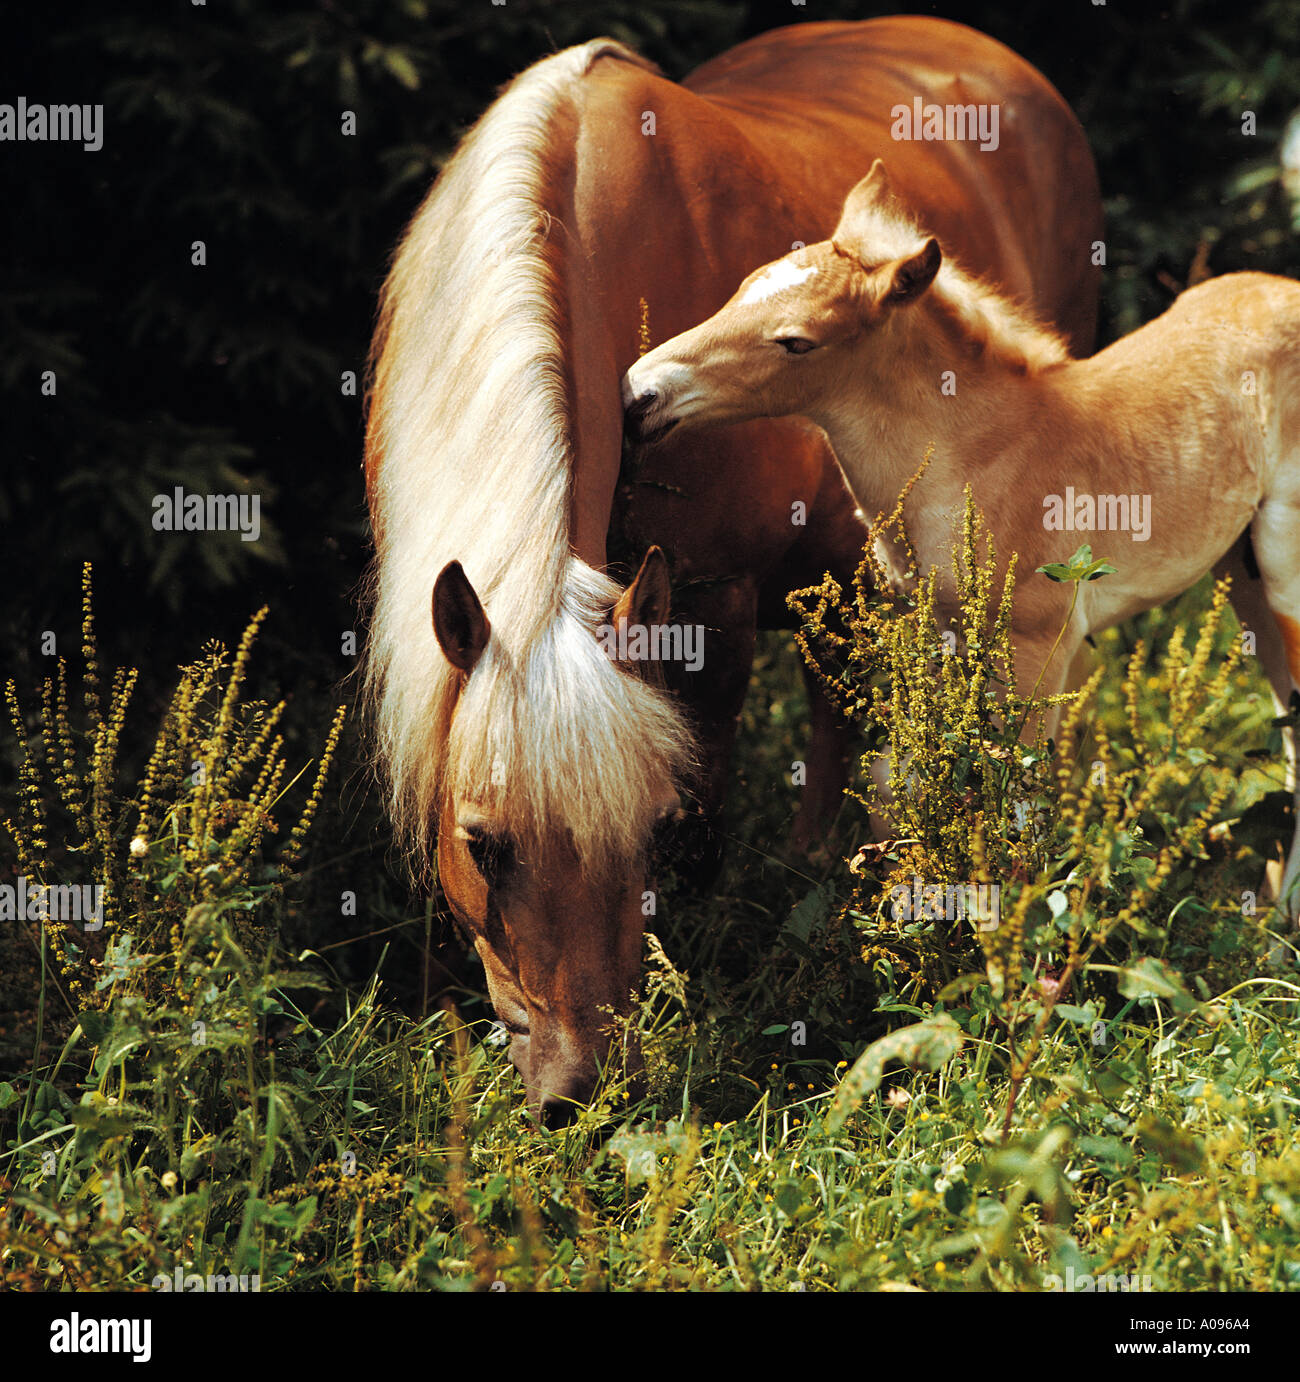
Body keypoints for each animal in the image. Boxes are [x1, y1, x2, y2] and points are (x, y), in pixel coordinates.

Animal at [623, 159, 1300, 922]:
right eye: (741, 288)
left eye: (797, 342)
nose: (640, 394)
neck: (980, 457)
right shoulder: (944, 633)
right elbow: (902, 778)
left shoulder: (1041, 645)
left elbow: (1020, 807)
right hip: (1241, 570)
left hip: (1284, 559)